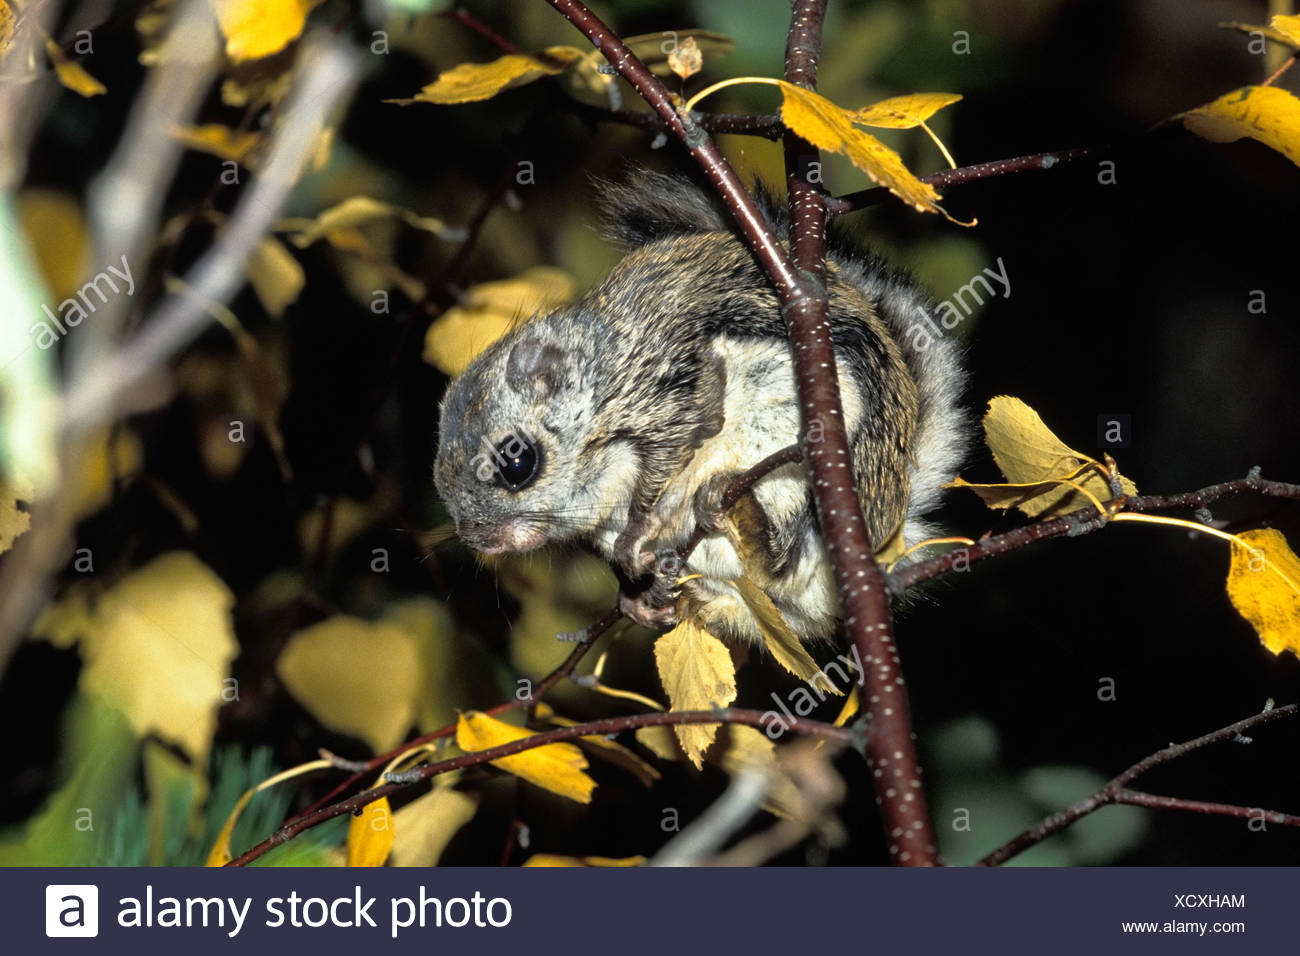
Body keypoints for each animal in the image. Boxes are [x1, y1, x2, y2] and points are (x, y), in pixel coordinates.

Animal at [434, 170, 967, 647]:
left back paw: (729, 508)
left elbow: (668, 459)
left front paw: (637, 532)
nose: (484, 541)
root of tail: (889, 532)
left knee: (783, 561)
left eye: (517, 462)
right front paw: (632, 585)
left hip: (800, 476)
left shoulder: (670, 392)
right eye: (439, 481)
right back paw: (654, 597)